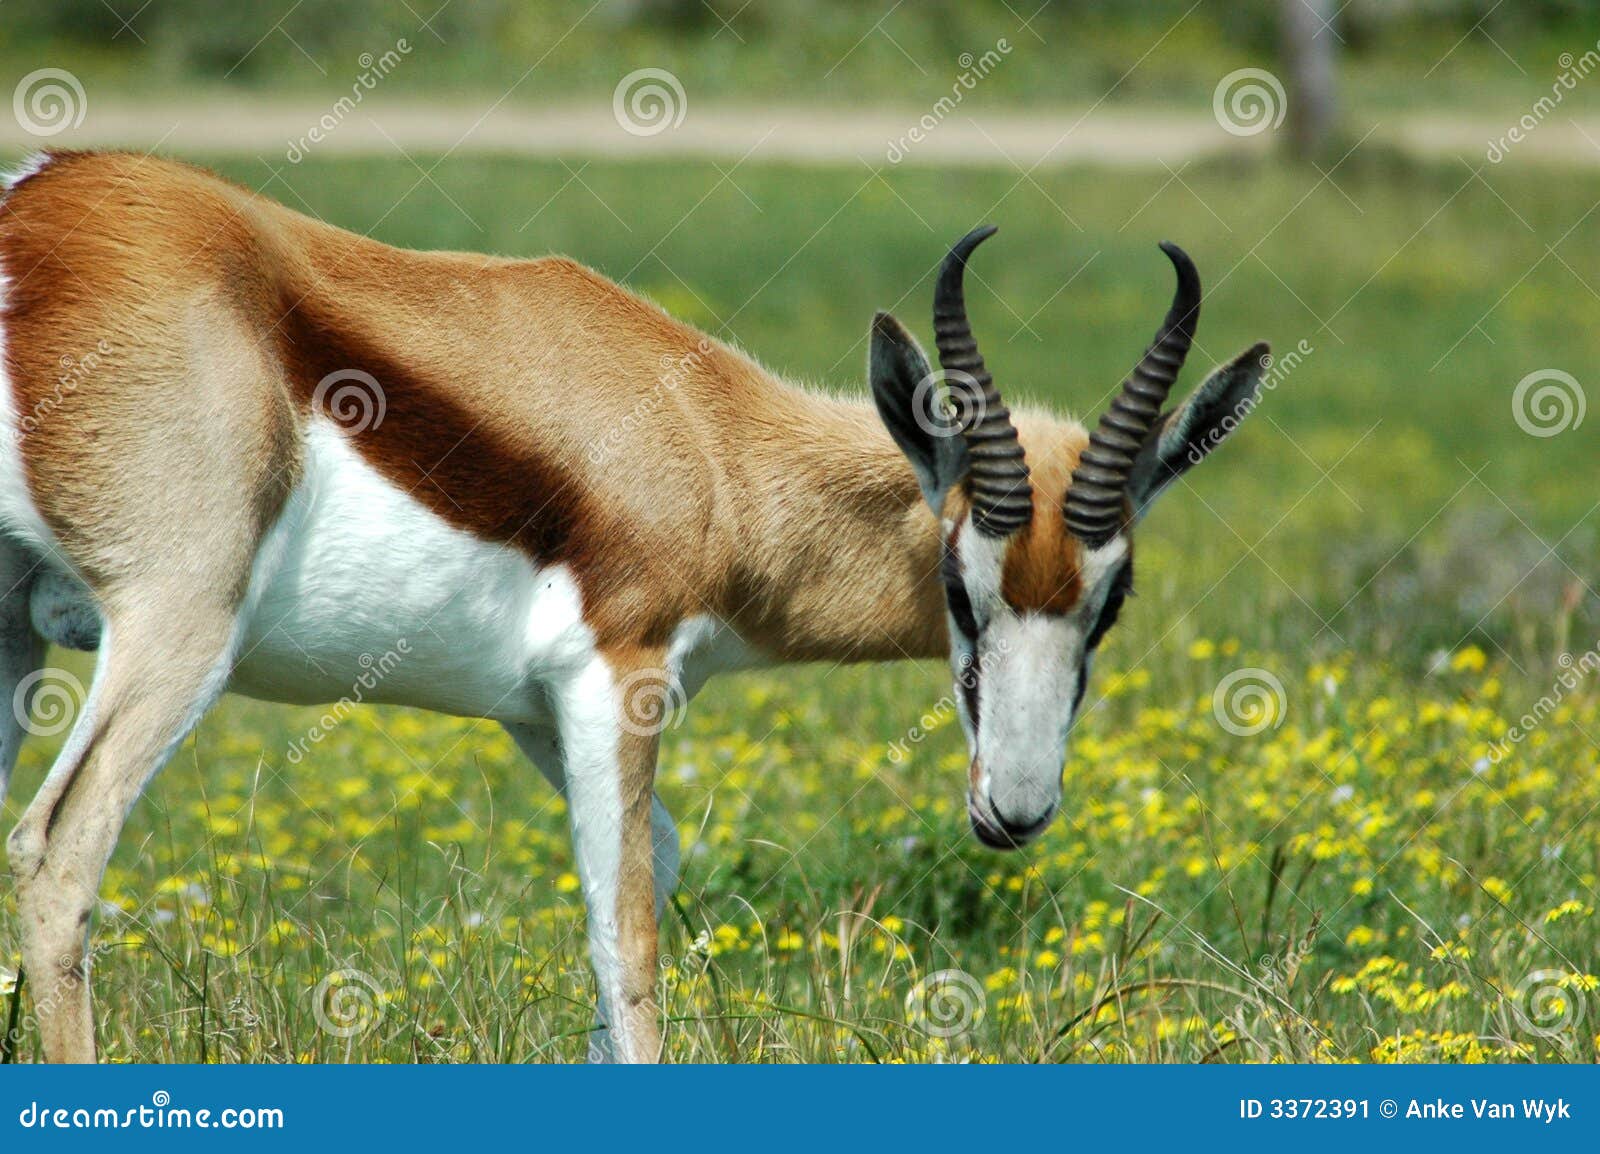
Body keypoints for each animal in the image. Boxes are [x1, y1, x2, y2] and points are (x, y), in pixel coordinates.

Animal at [0, 151, 1268, 1064]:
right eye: (960, 581)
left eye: (1110, 600)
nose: (1015, 806)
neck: (706, 439)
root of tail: (36, 209)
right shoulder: (622, 674)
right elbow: (630, 940)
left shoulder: (536, 712)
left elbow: (641, 879)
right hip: (179, 627)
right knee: (60, 850)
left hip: (13, 635)